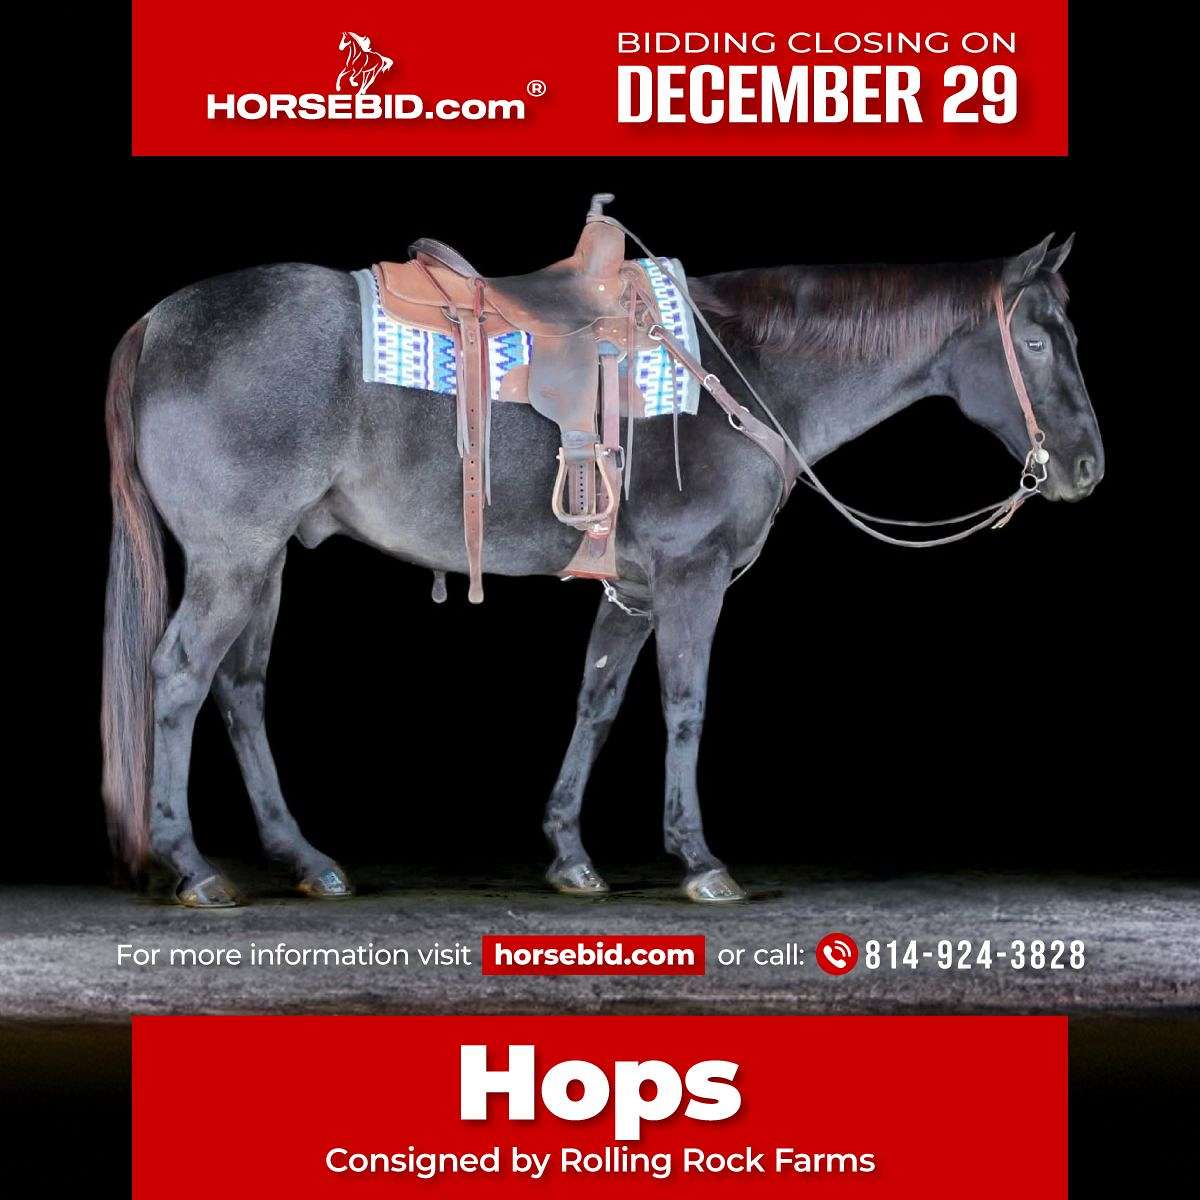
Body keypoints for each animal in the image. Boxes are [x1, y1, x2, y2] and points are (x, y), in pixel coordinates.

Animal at [100, 232, 1102, 907]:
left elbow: (599, 701)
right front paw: (699, 859)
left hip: (264, 560)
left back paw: (304, 859)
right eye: (1037, 341)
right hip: (234, 558)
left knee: (240, 688)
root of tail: (156, 323)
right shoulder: (693, 576)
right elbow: (686, 706)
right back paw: (191, 865)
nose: (1088, 467)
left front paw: (570, 854)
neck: (746, 365)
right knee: (181, 676)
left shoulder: (635, 592)